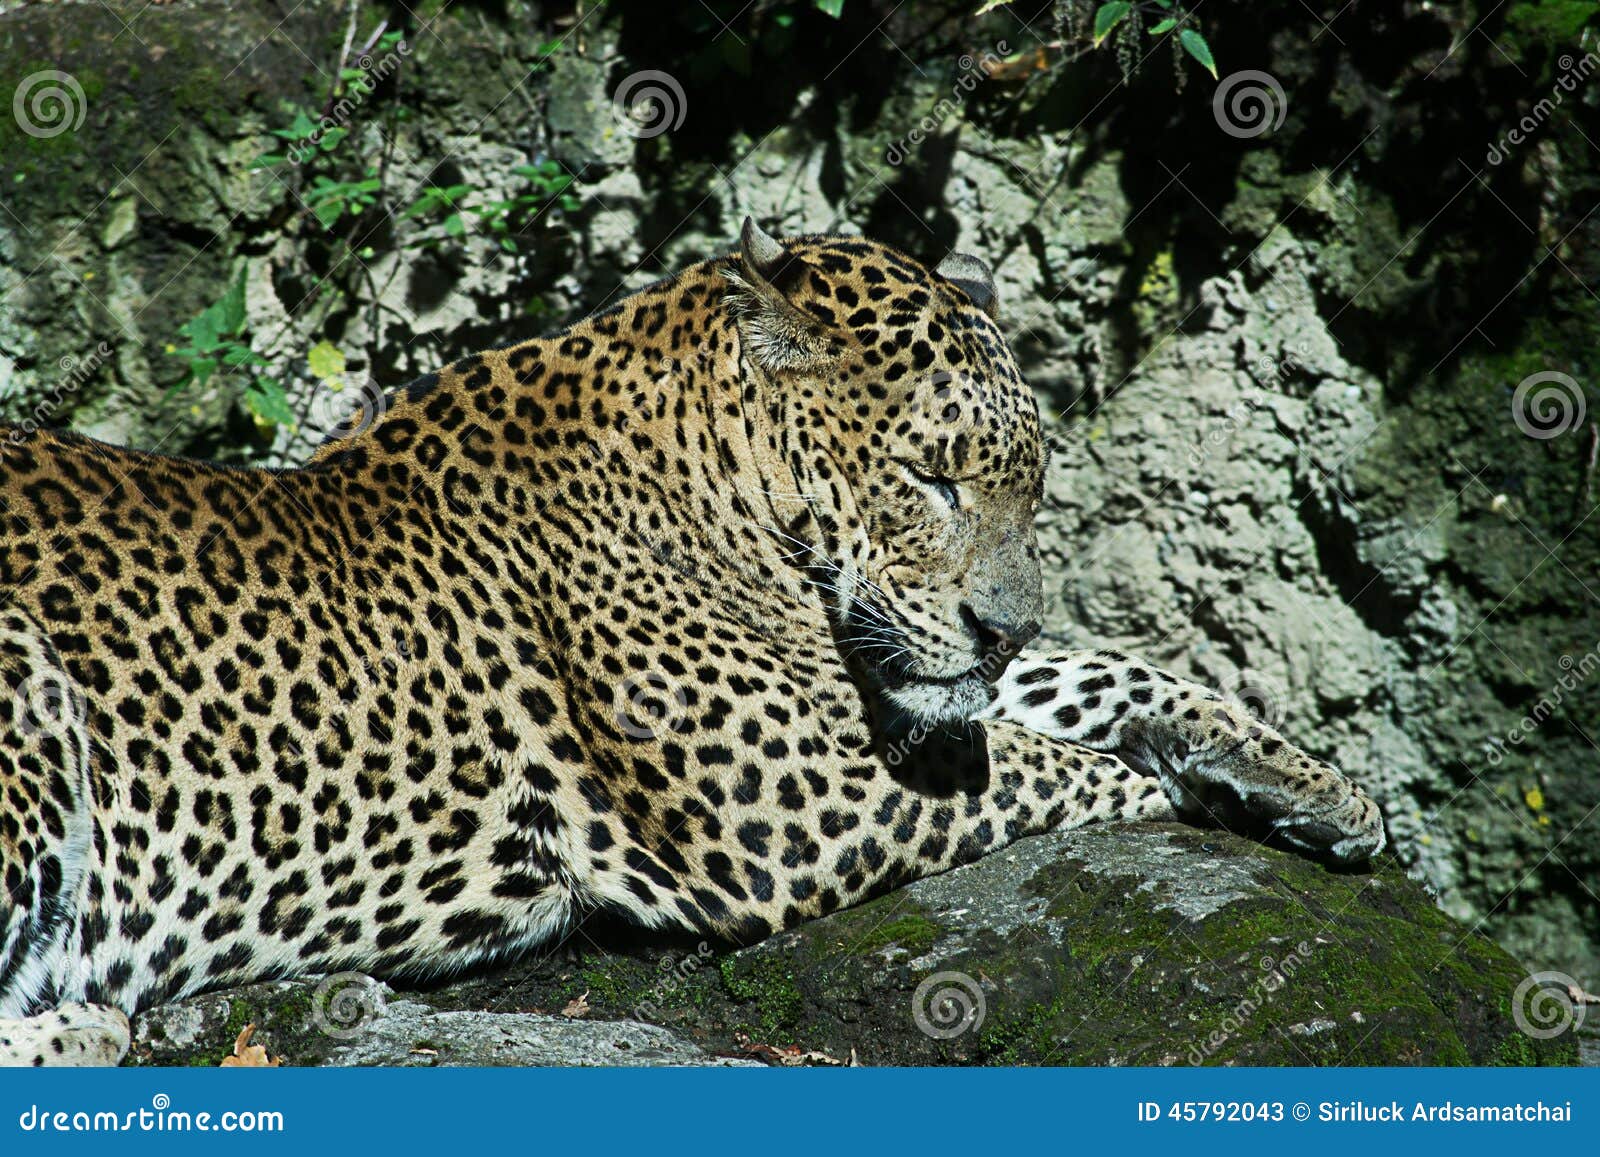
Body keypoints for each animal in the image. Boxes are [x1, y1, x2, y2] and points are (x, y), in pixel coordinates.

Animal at [0, 219, 1385, 1065]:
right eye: (932, 476)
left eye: (1027, 487)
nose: (1003, 623)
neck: (722, 479)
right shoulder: (798, 797)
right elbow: (1058, 765)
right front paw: (1191, 792)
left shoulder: (884, 684)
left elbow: (1095, 674)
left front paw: (1317, 785)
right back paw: (92, 1019)